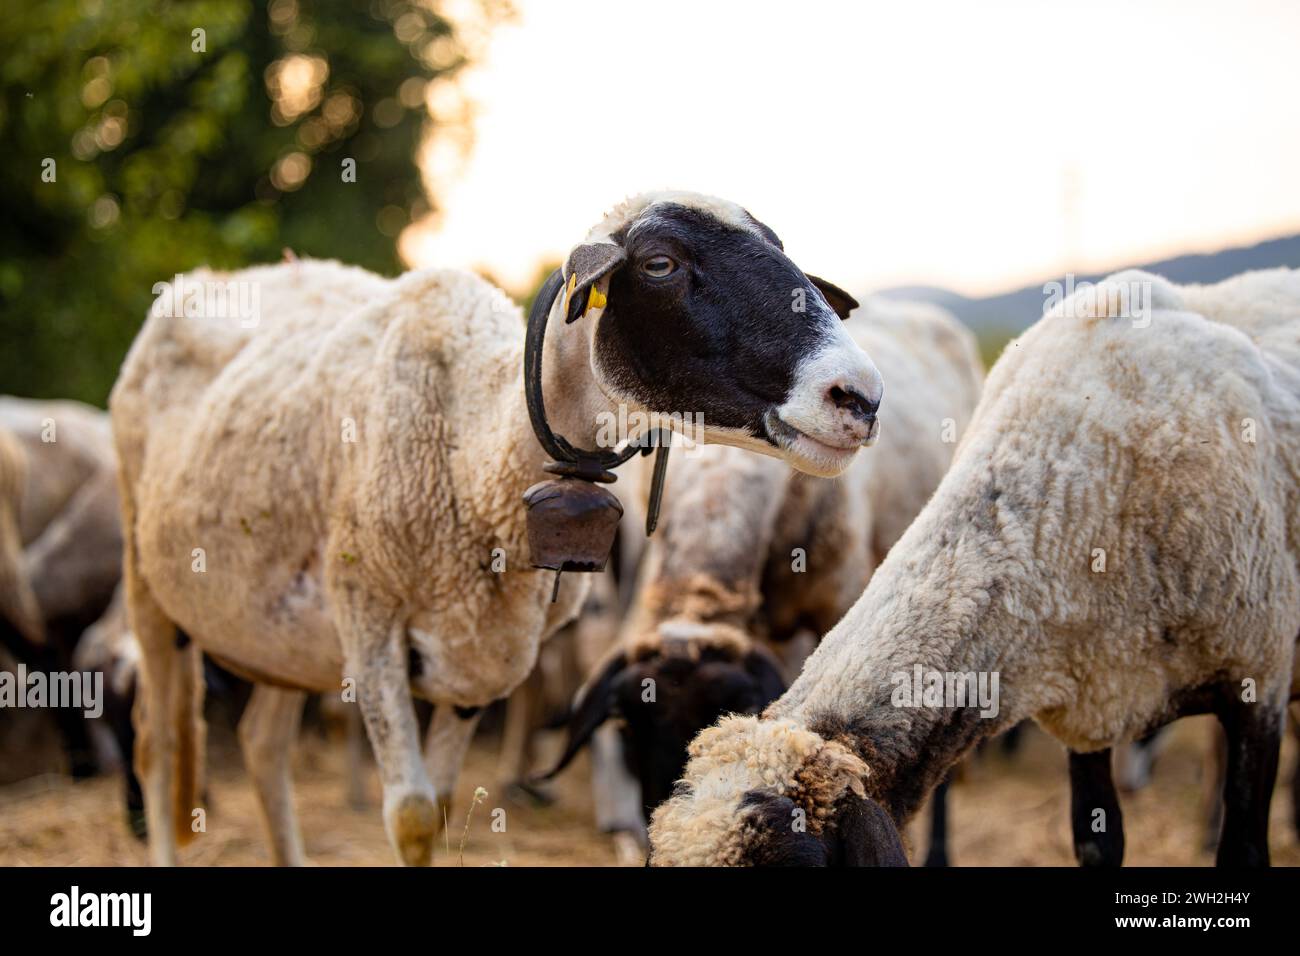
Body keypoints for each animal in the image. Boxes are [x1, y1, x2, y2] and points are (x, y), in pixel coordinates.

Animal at [110, 190, 886, 866]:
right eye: (661, 263)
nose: (859, 396)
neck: (473, 444)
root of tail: (208, 279)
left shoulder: (480, 658)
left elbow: (443, 808)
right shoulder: (370, 628)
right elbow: (412, 817)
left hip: (279, 632)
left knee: (263, 747)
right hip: (149, 582)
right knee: (157, 747)